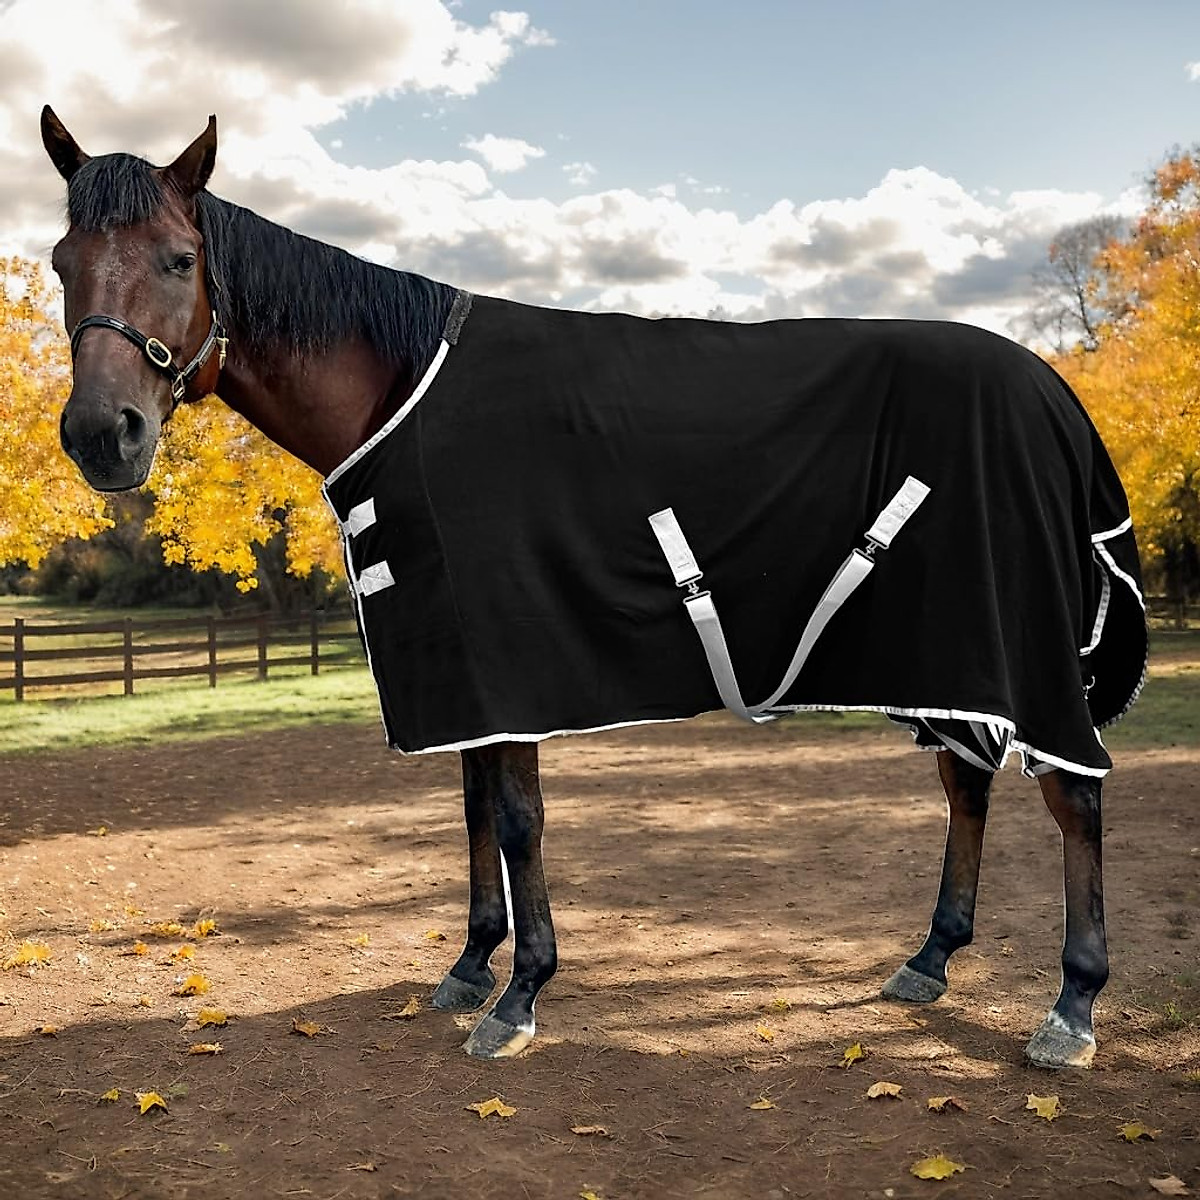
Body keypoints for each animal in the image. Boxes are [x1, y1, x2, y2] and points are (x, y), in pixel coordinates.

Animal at [40, 108, 1148, 1067]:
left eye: (180, 260)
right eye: (59, 263)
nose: (102, 435)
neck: (405, 393)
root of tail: (1053, 391)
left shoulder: (504, 664)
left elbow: (517, 820)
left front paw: (520, 994)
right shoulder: (458, 665)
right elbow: (474, 810)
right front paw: (469, 965)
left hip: (1016, 649)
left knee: (1074, 793)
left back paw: (1072, 1005)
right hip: (943, 651)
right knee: (968, 781)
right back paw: (931, 957)